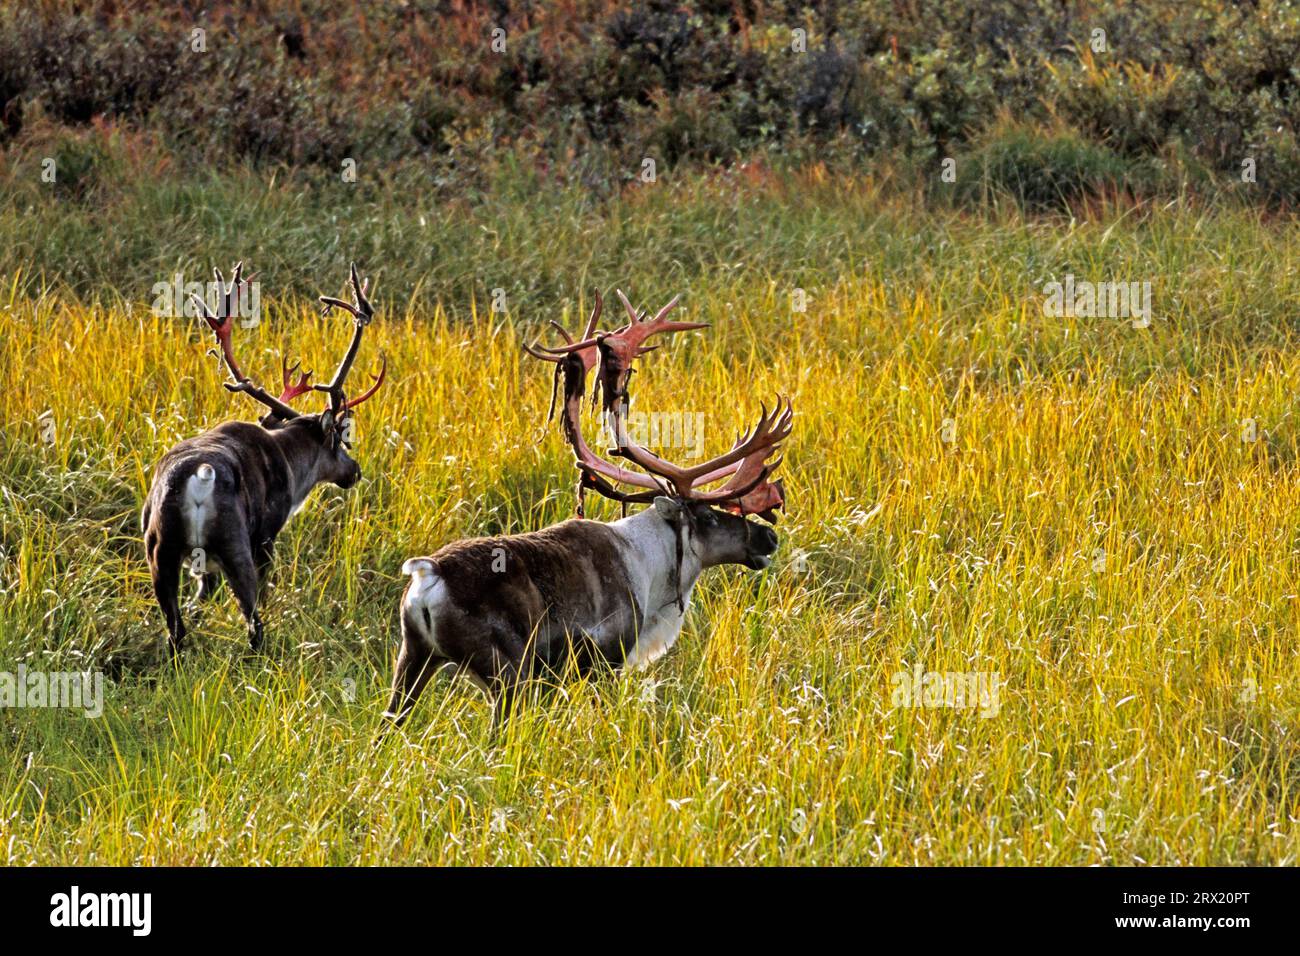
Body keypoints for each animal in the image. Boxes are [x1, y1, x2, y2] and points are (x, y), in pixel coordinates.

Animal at [141, 263, 386, 657]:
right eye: (340, 440)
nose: (355, 471)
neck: (289, 459)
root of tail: (199, 478)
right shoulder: (268, 534)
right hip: (236, 545)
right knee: (253, 622)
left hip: (159, 549)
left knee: (176, 630)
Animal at [384, 290, 792, 725]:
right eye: (711, 515)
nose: (769, 536)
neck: (652, 569)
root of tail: (429, 572)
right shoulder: (604, 658)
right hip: (506, 671)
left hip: (413, 657)